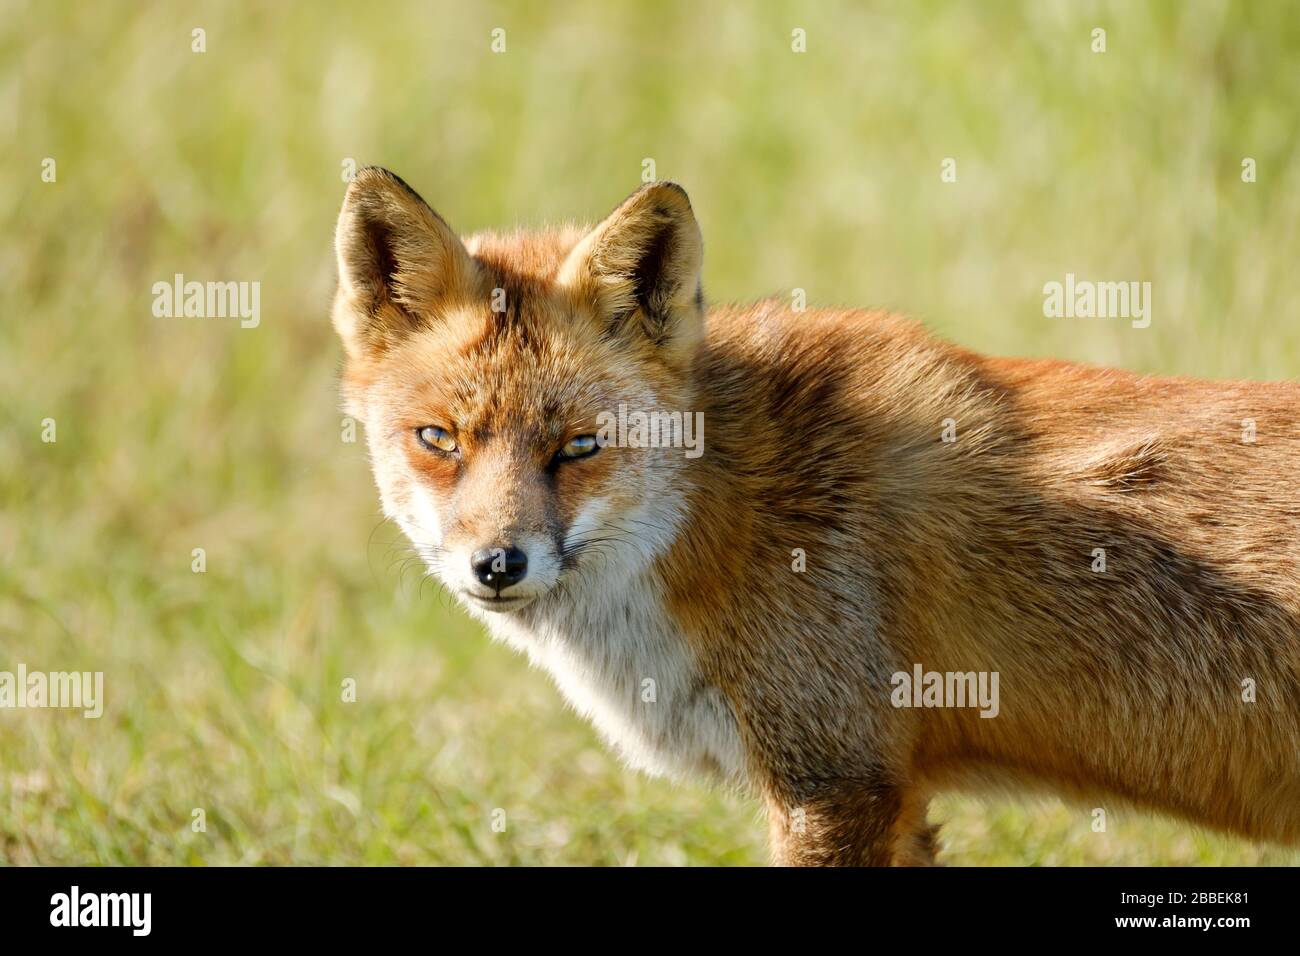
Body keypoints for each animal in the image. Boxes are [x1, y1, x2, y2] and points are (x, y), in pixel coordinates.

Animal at [332, 167, 1300, 865]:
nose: (498, 564)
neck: (723, 515)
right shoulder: (896, 793)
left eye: (579, 446)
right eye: (439, 439)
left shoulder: (835, 784)